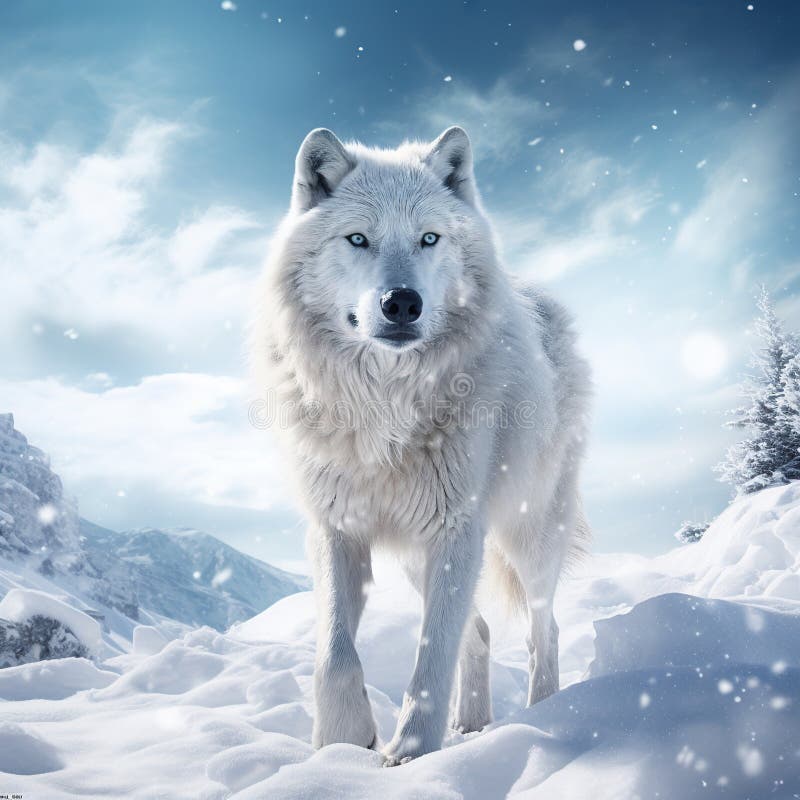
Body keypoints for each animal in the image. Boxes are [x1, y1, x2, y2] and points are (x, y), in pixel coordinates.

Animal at [253, 126, 591, 765]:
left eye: (429, 238)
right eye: (358, 239)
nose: (402, 302)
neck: (384, 406)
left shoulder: (457, 528)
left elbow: (431, 657)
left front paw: (407, 756)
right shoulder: (336, 529)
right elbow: (334, 655)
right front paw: (339, 746)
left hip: (527, 534)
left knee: (545, 630)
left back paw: (547, 714)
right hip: (415, 554)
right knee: (479, 631)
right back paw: (473, 726)